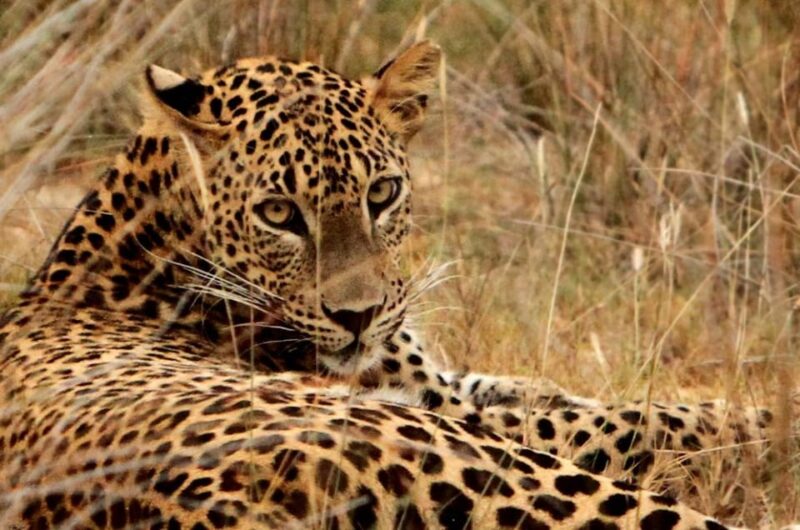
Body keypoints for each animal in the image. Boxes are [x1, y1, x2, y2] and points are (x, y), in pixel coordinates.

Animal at [0, 40, 789, 528]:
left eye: (381, 194)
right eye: (279, 213)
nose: (358, 314)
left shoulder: (440, 379)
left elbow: (562, 393)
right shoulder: (453, 410)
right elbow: (639, 418)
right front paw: (774, 414)